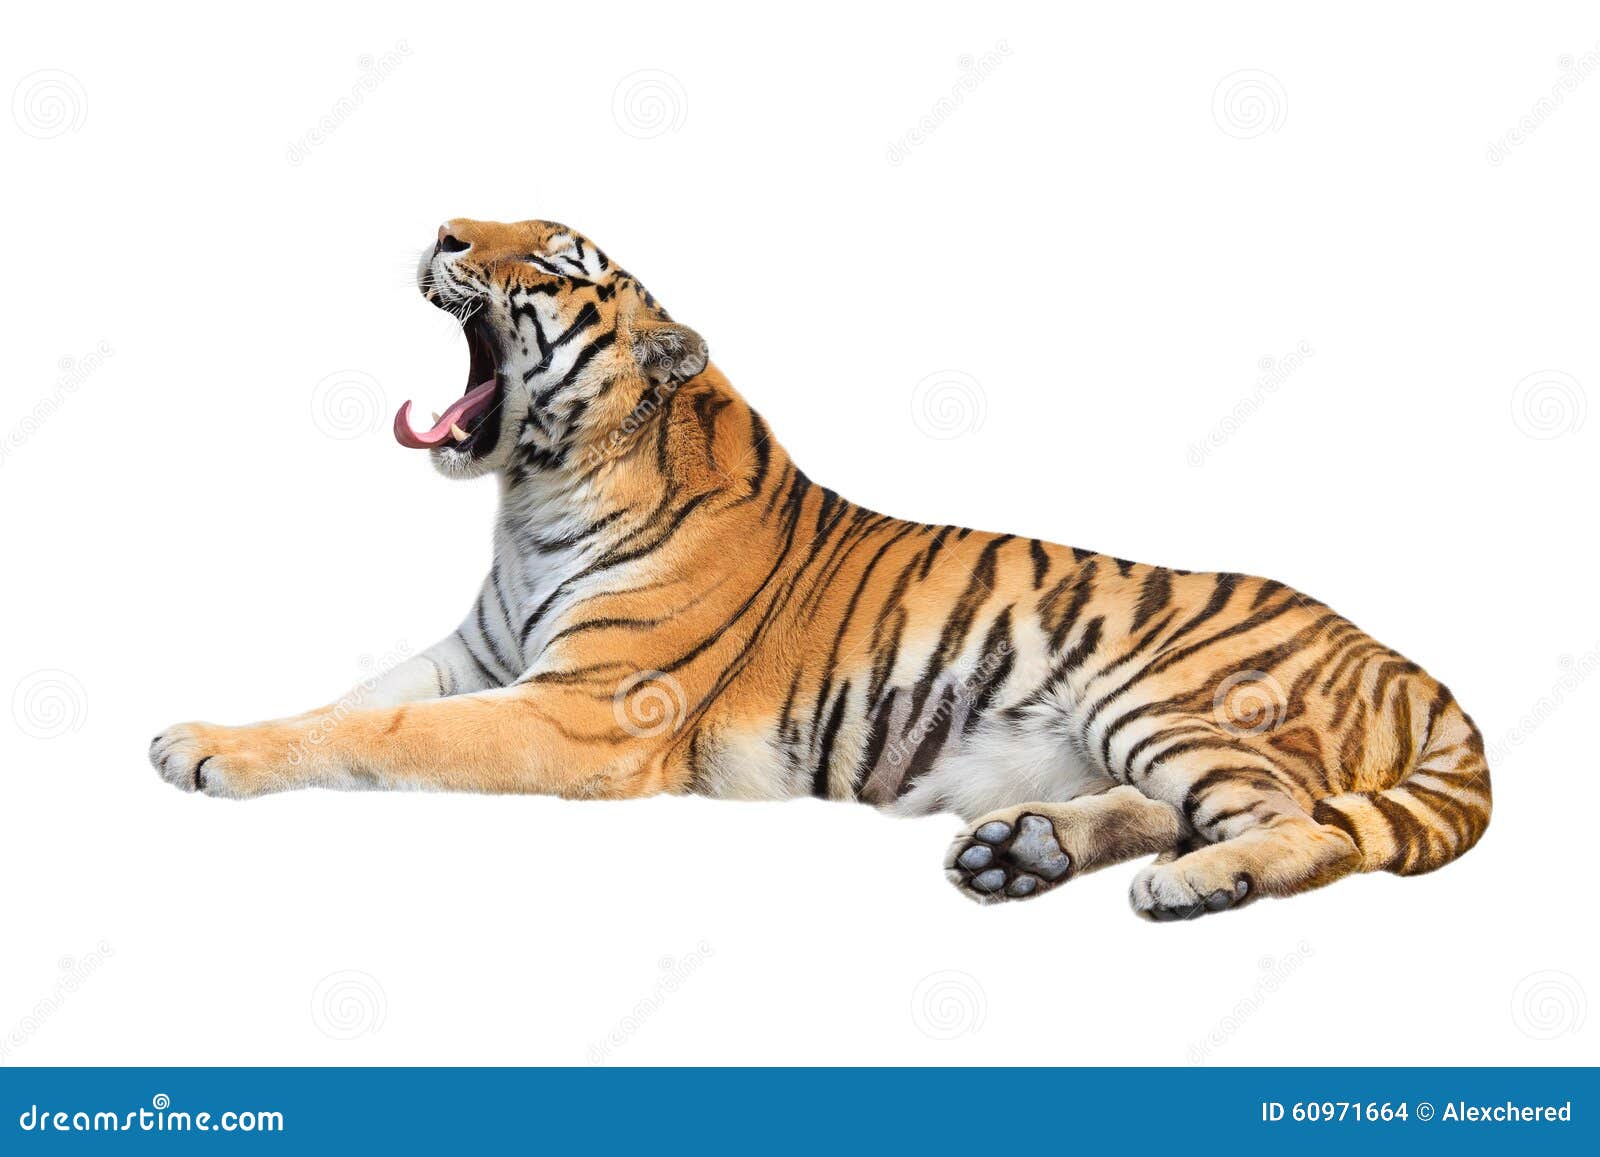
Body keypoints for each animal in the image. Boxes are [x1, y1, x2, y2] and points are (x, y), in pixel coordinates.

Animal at [148, 217, 1492, 920]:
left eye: (556, 264)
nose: (442, 230)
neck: (529, 495)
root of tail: (1403, 661)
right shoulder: (476, 655)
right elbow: (349, 702)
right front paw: (219, 730)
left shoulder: (582, 710)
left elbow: (386, 735)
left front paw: (203, 751)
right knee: (1191, 804)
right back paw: (1023, 852)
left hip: (1161, 693)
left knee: (1305, 826)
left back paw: (1193, 883)